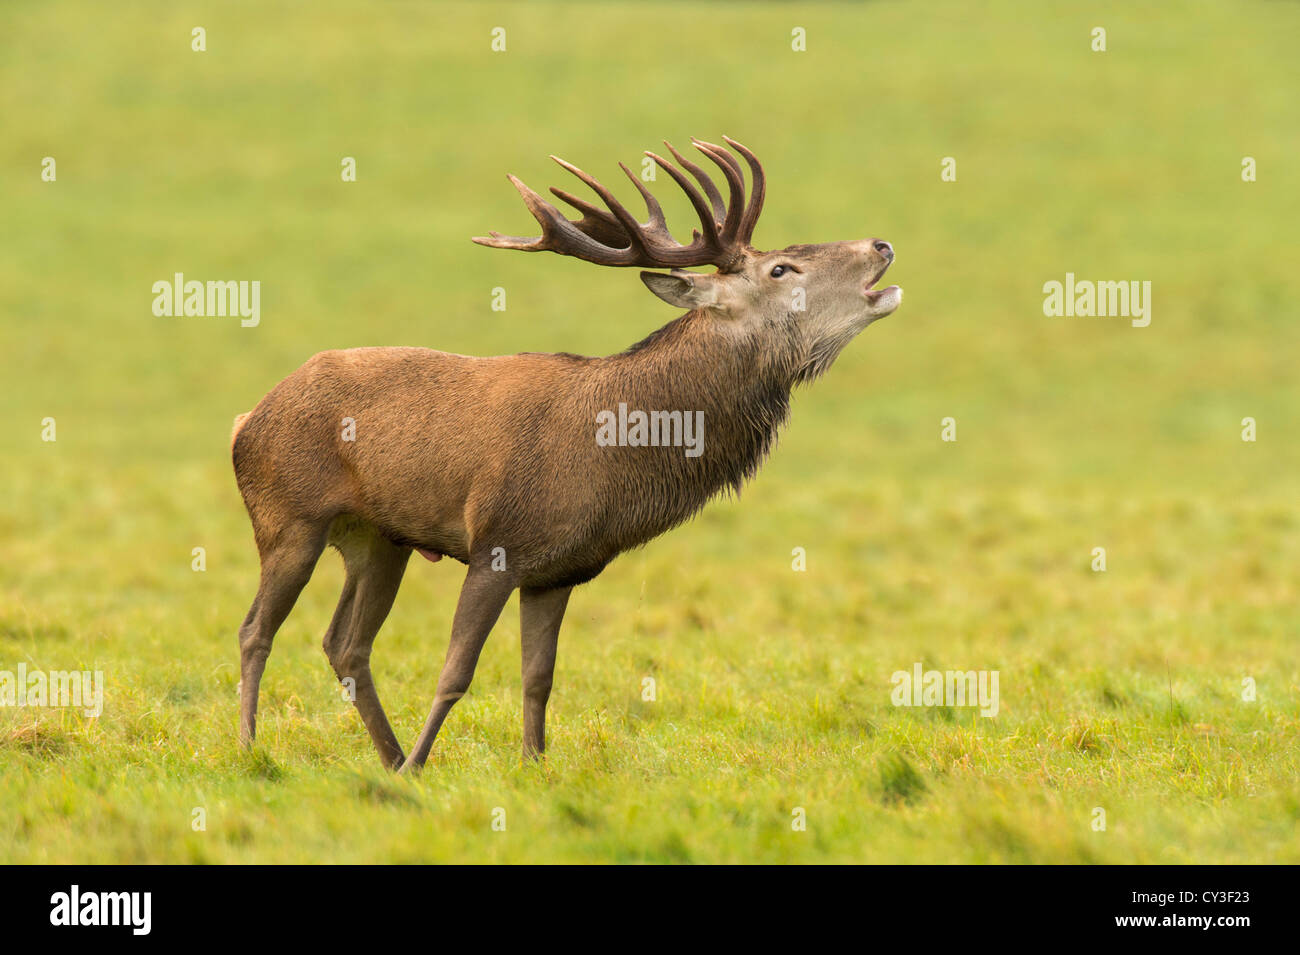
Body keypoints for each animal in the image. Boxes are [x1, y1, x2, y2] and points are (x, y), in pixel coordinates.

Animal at [231, 137, 902, 772]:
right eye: (781, 269)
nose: (881, 244)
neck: (611, 452)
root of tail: (245, 419)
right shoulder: (496, 542)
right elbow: (455, 672)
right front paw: (422, 769)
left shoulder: (558, 571)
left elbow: (539, 679)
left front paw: (533, 765)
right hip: (286, 517)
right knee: (255, 630)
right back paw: (252, 748)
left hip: (378, 539)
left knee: (344, 643)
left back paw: (388, 756)